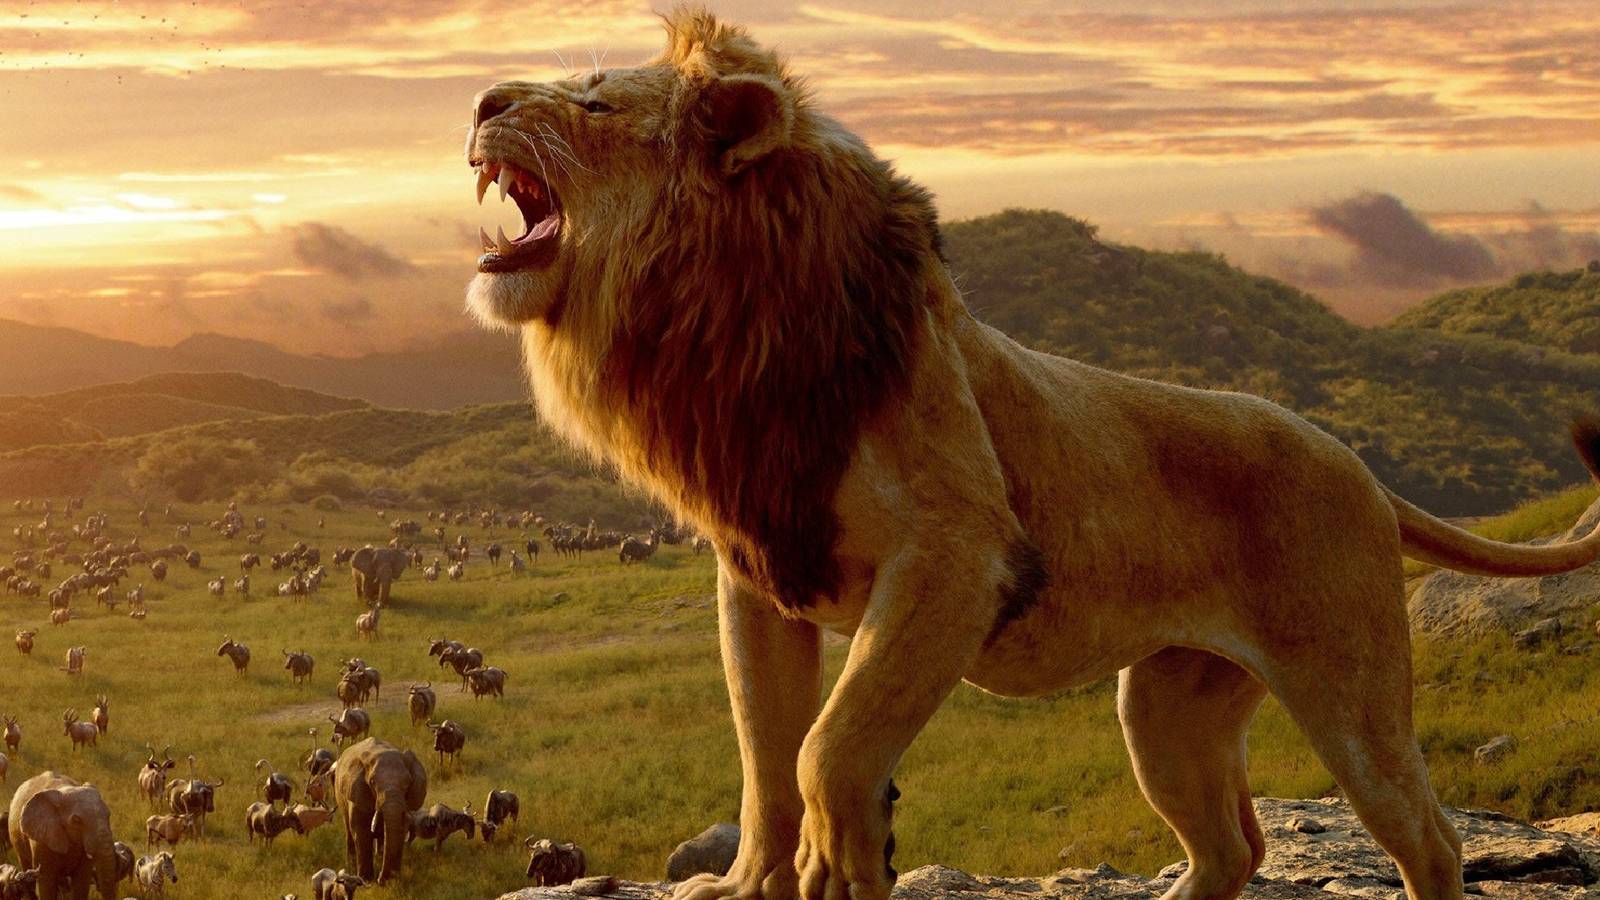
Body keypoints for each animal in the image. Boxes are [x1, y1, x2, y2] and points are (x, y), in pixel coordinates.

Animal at [463, 9, 1600, 900]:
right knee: (1232, 847)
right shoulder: (757, 575)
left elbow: (829, 747)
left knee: (1429, 838)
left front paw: (842, 863)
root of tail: (1363, 468)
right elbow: (764, 758)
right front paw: (748, 883)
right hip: (1166, 710)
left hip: (1350, 691)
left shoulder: (957, 560)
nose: (478, 102)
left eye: (595, 105)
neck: (725, 333)